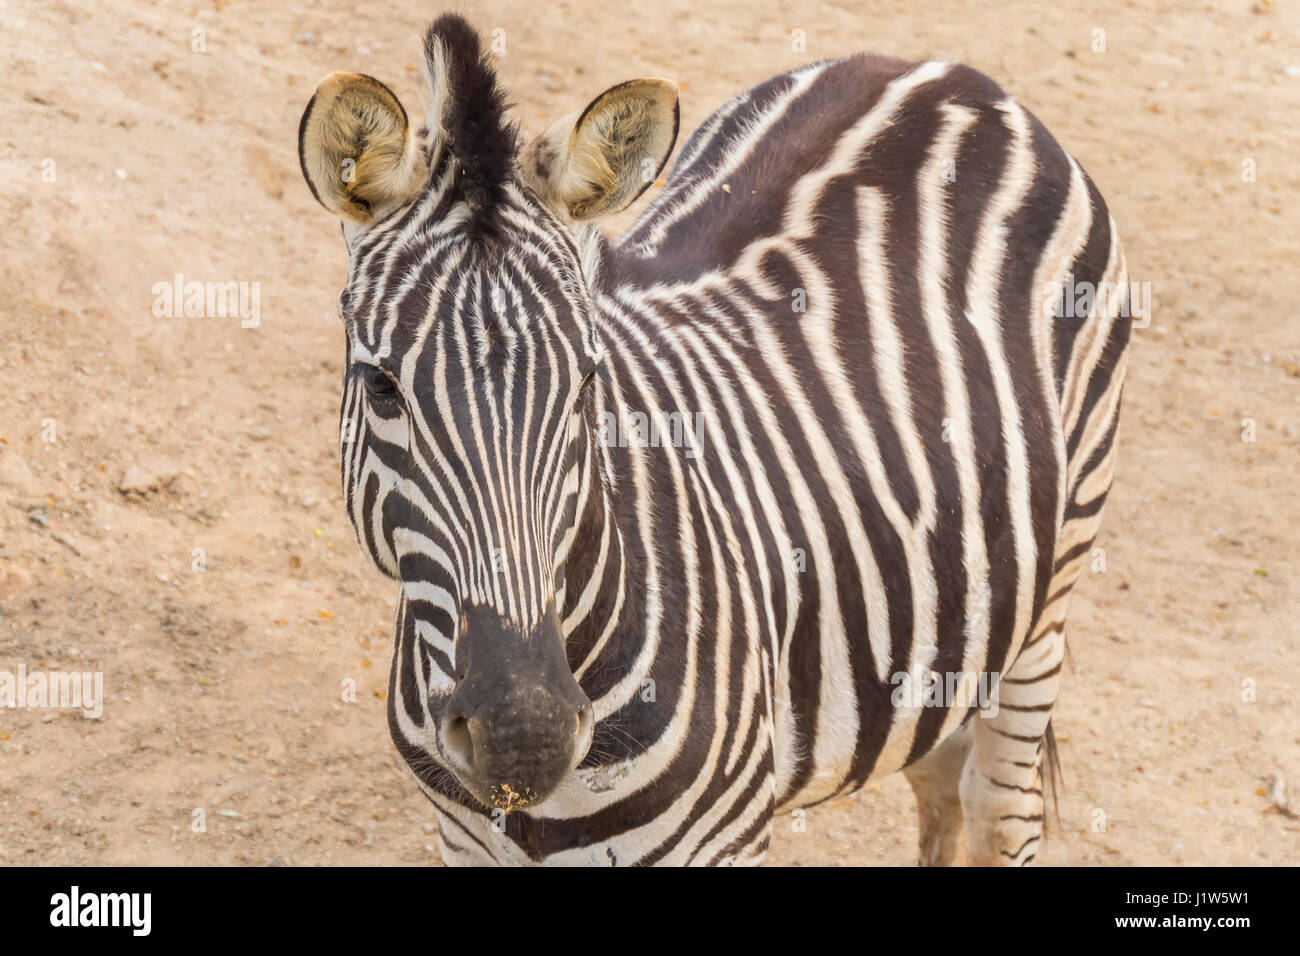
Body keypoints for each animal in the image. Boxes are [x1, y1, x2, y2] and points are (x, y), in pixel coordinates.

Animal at [296, 13, 1130, 866]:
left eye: (587, 384)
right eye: (381, 387)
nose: (522, 738)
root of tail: (947, 74)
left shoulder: (721, 841)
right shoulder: (465, 836)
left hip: (1049, 592)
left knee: (1002, 810)